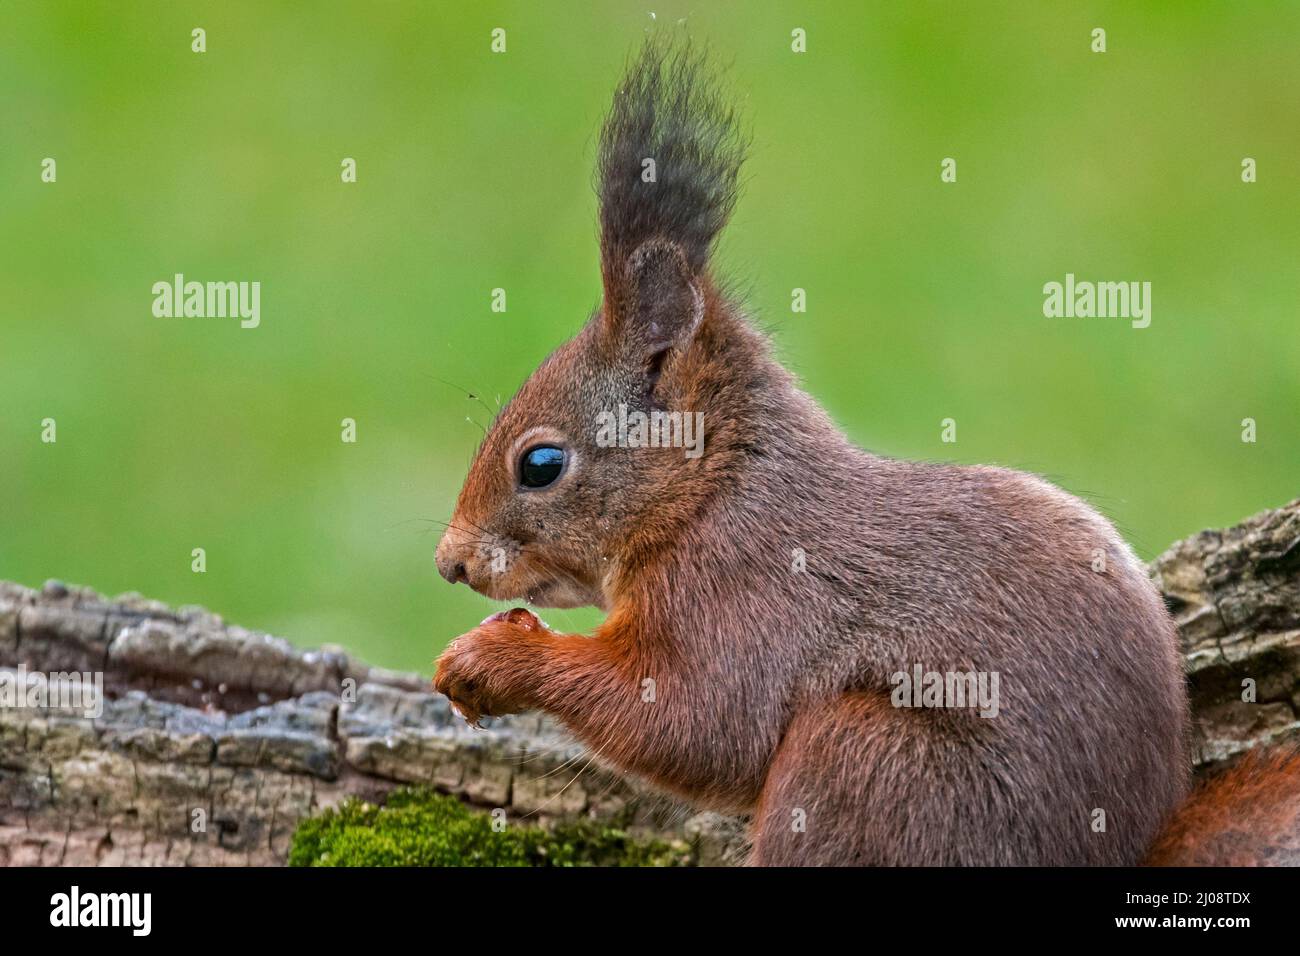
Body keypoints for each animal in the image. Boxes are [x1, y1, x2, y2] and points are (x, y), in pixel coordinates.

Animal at [433, 39, 1300, 865]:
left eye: (540, 465)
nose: (451, 563)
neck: (710, 494)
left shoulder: (746, 596)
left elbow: (692, 720)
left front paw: (490, 658)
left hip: (865, 758)